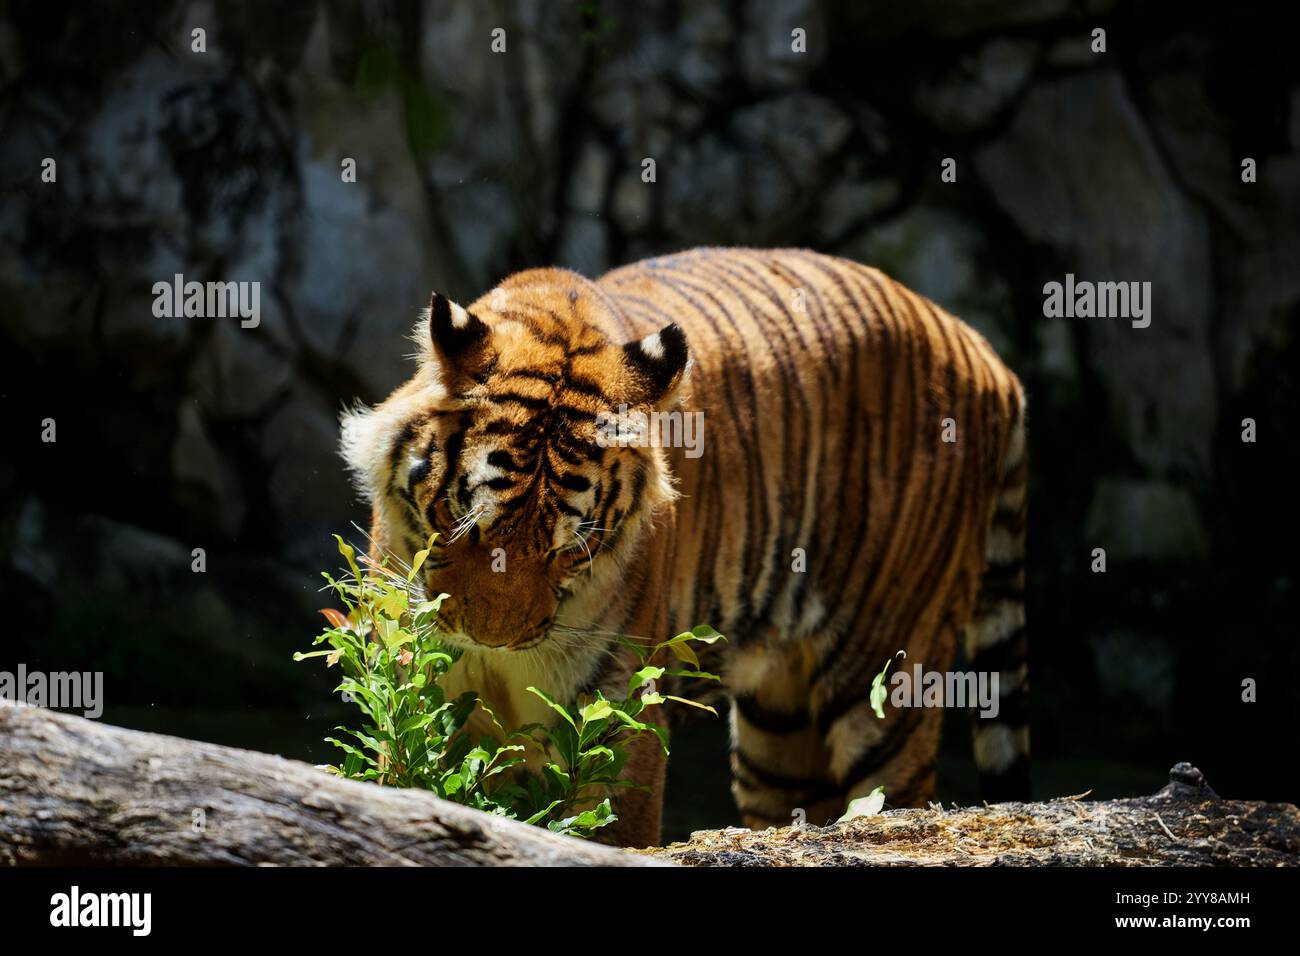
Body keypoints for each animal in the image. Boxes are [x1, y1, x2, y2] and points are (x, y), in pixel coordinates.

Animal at [340, 247, 1029, 848]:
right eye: (467, 523)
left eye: (567, 549)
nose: (491, 639)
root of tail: (983, 350)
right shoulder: (410, 671)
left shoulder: (616, 707)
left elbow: (611, 829)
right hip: (781, 730)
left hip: (887, 671)